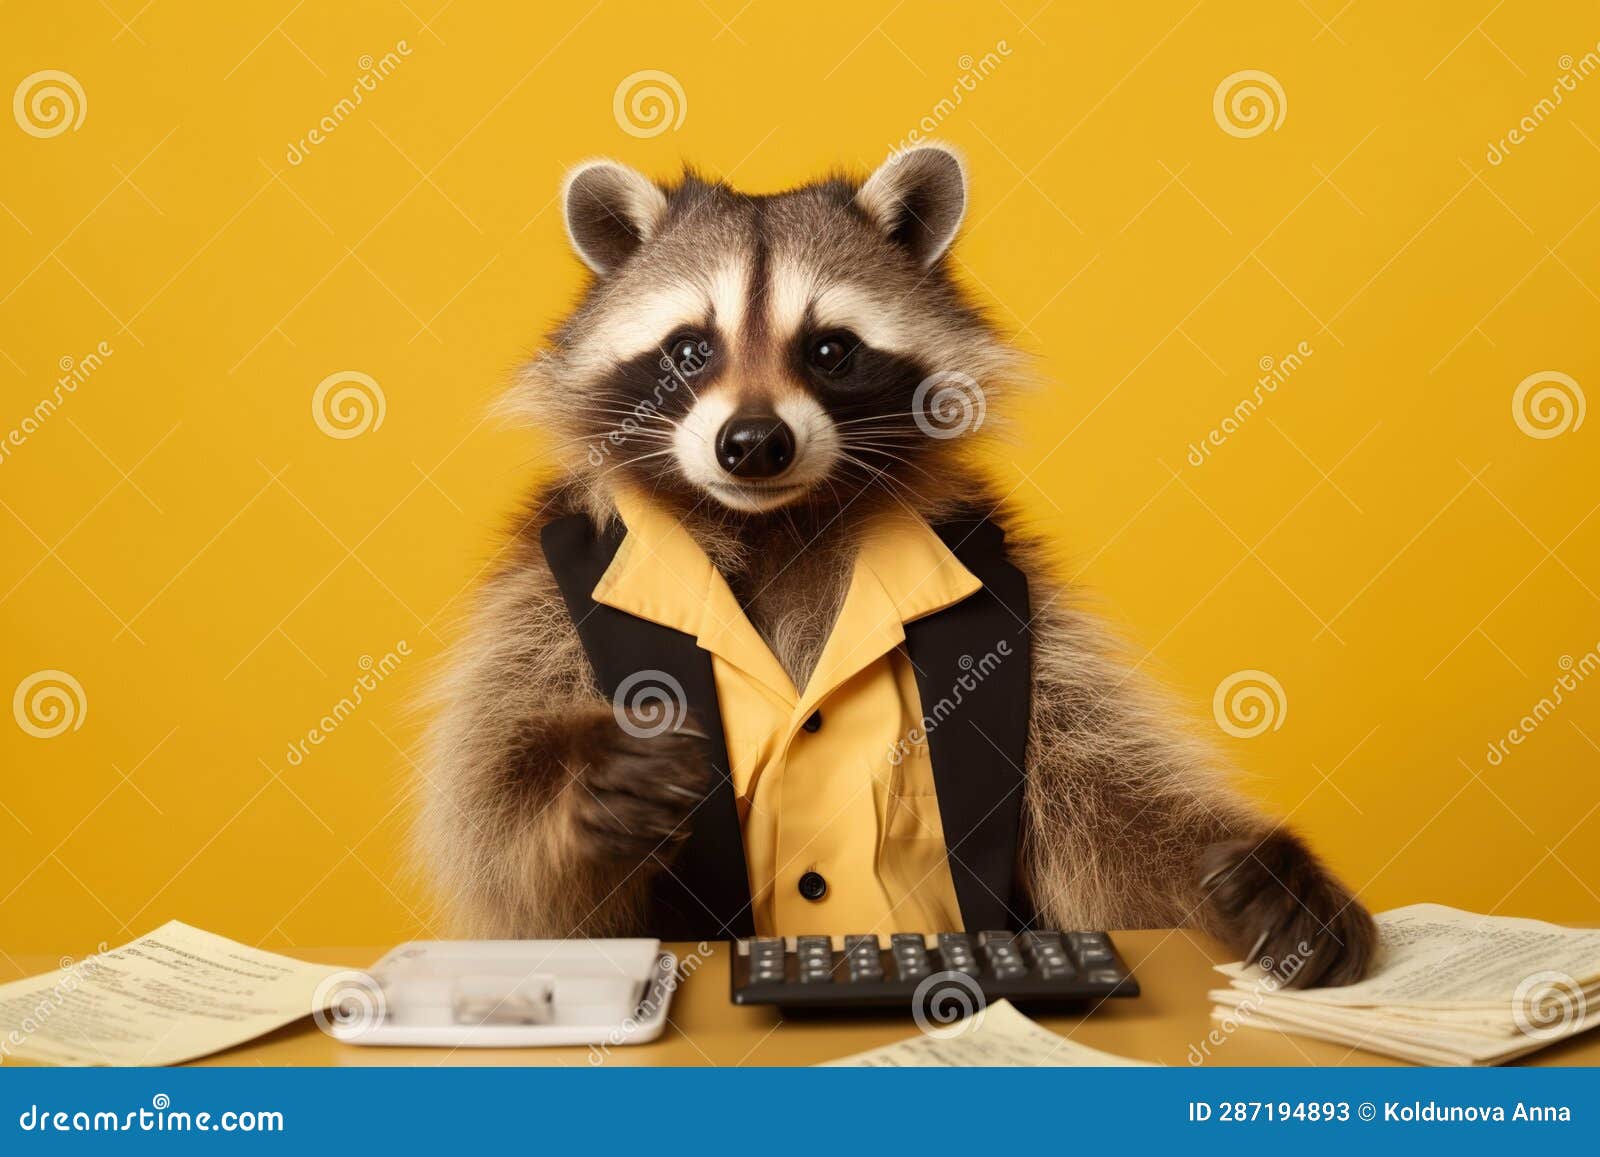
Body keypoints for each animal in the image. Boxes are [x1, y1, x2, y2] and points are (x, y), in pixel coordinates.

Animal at [419, 145, 1376, 988]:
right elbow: (494, 821)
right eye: (690, 349)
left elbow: (1100, 801)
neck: (778, 524)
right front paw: (578, 779)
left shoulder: (1027, 610)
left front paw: (1240, 859)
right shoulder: (537, 592)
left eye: (830, 349)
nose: (754, 443)